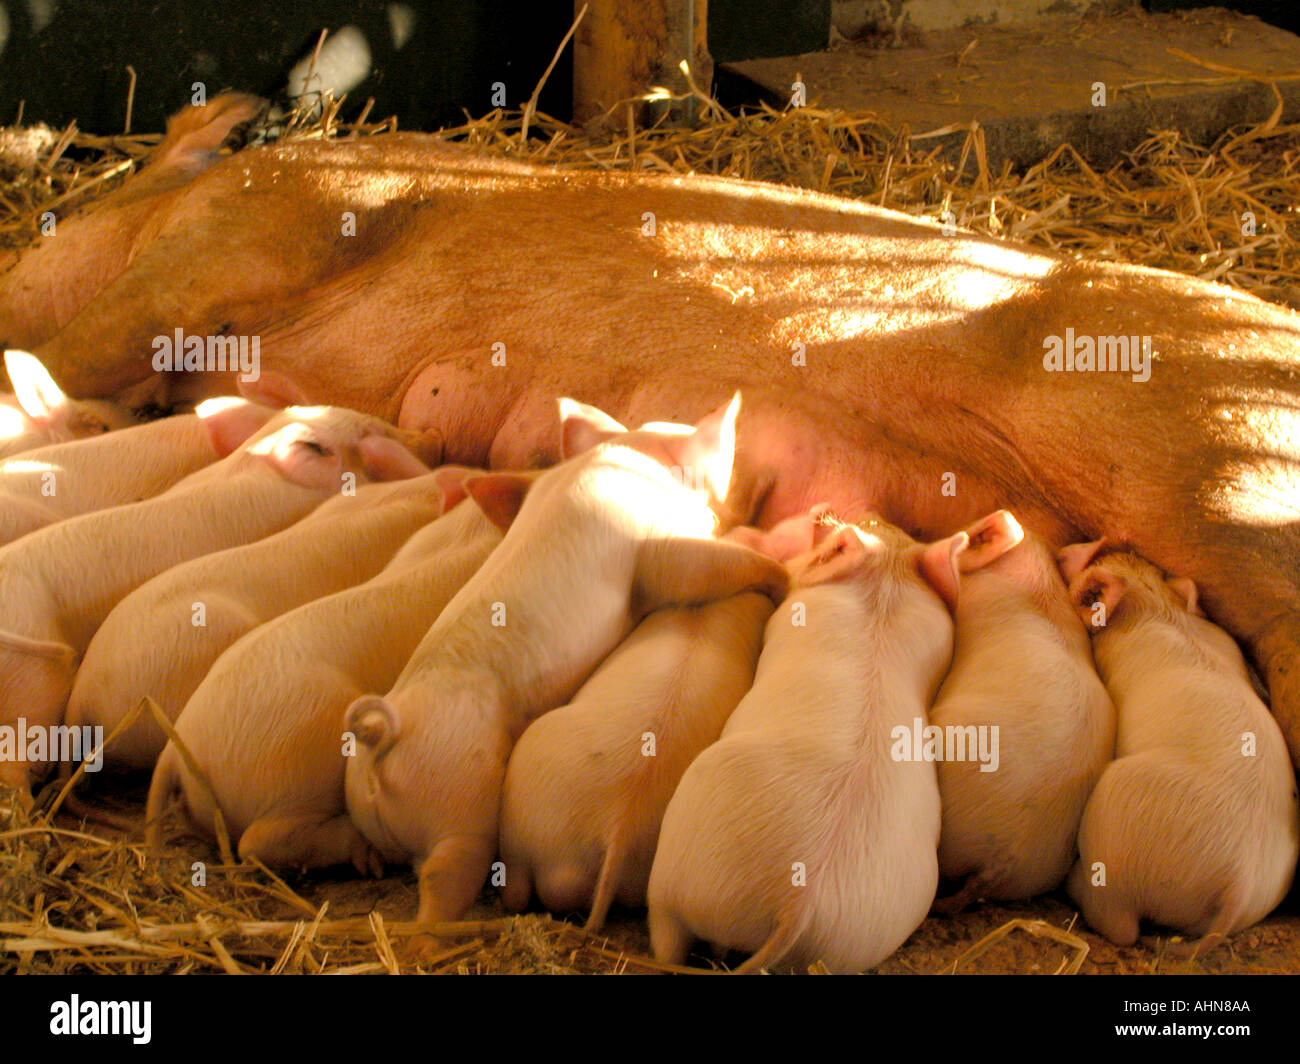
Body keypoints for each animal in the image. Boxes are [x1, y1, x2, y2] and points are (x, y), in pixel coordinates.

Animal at [646, 508, 1020, 973]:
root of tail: (797, 905)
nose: (868, 512)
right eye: (887, 527)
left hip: (676, 869)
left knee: (666, 932)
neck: (884, 592)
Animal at [1061, 543, 1299, 953]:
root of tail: (1238, 885)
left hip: (1117, 813)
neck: (1157, 608)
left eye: (1089, 589)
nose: (1062, 552)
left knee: (1119, 924)